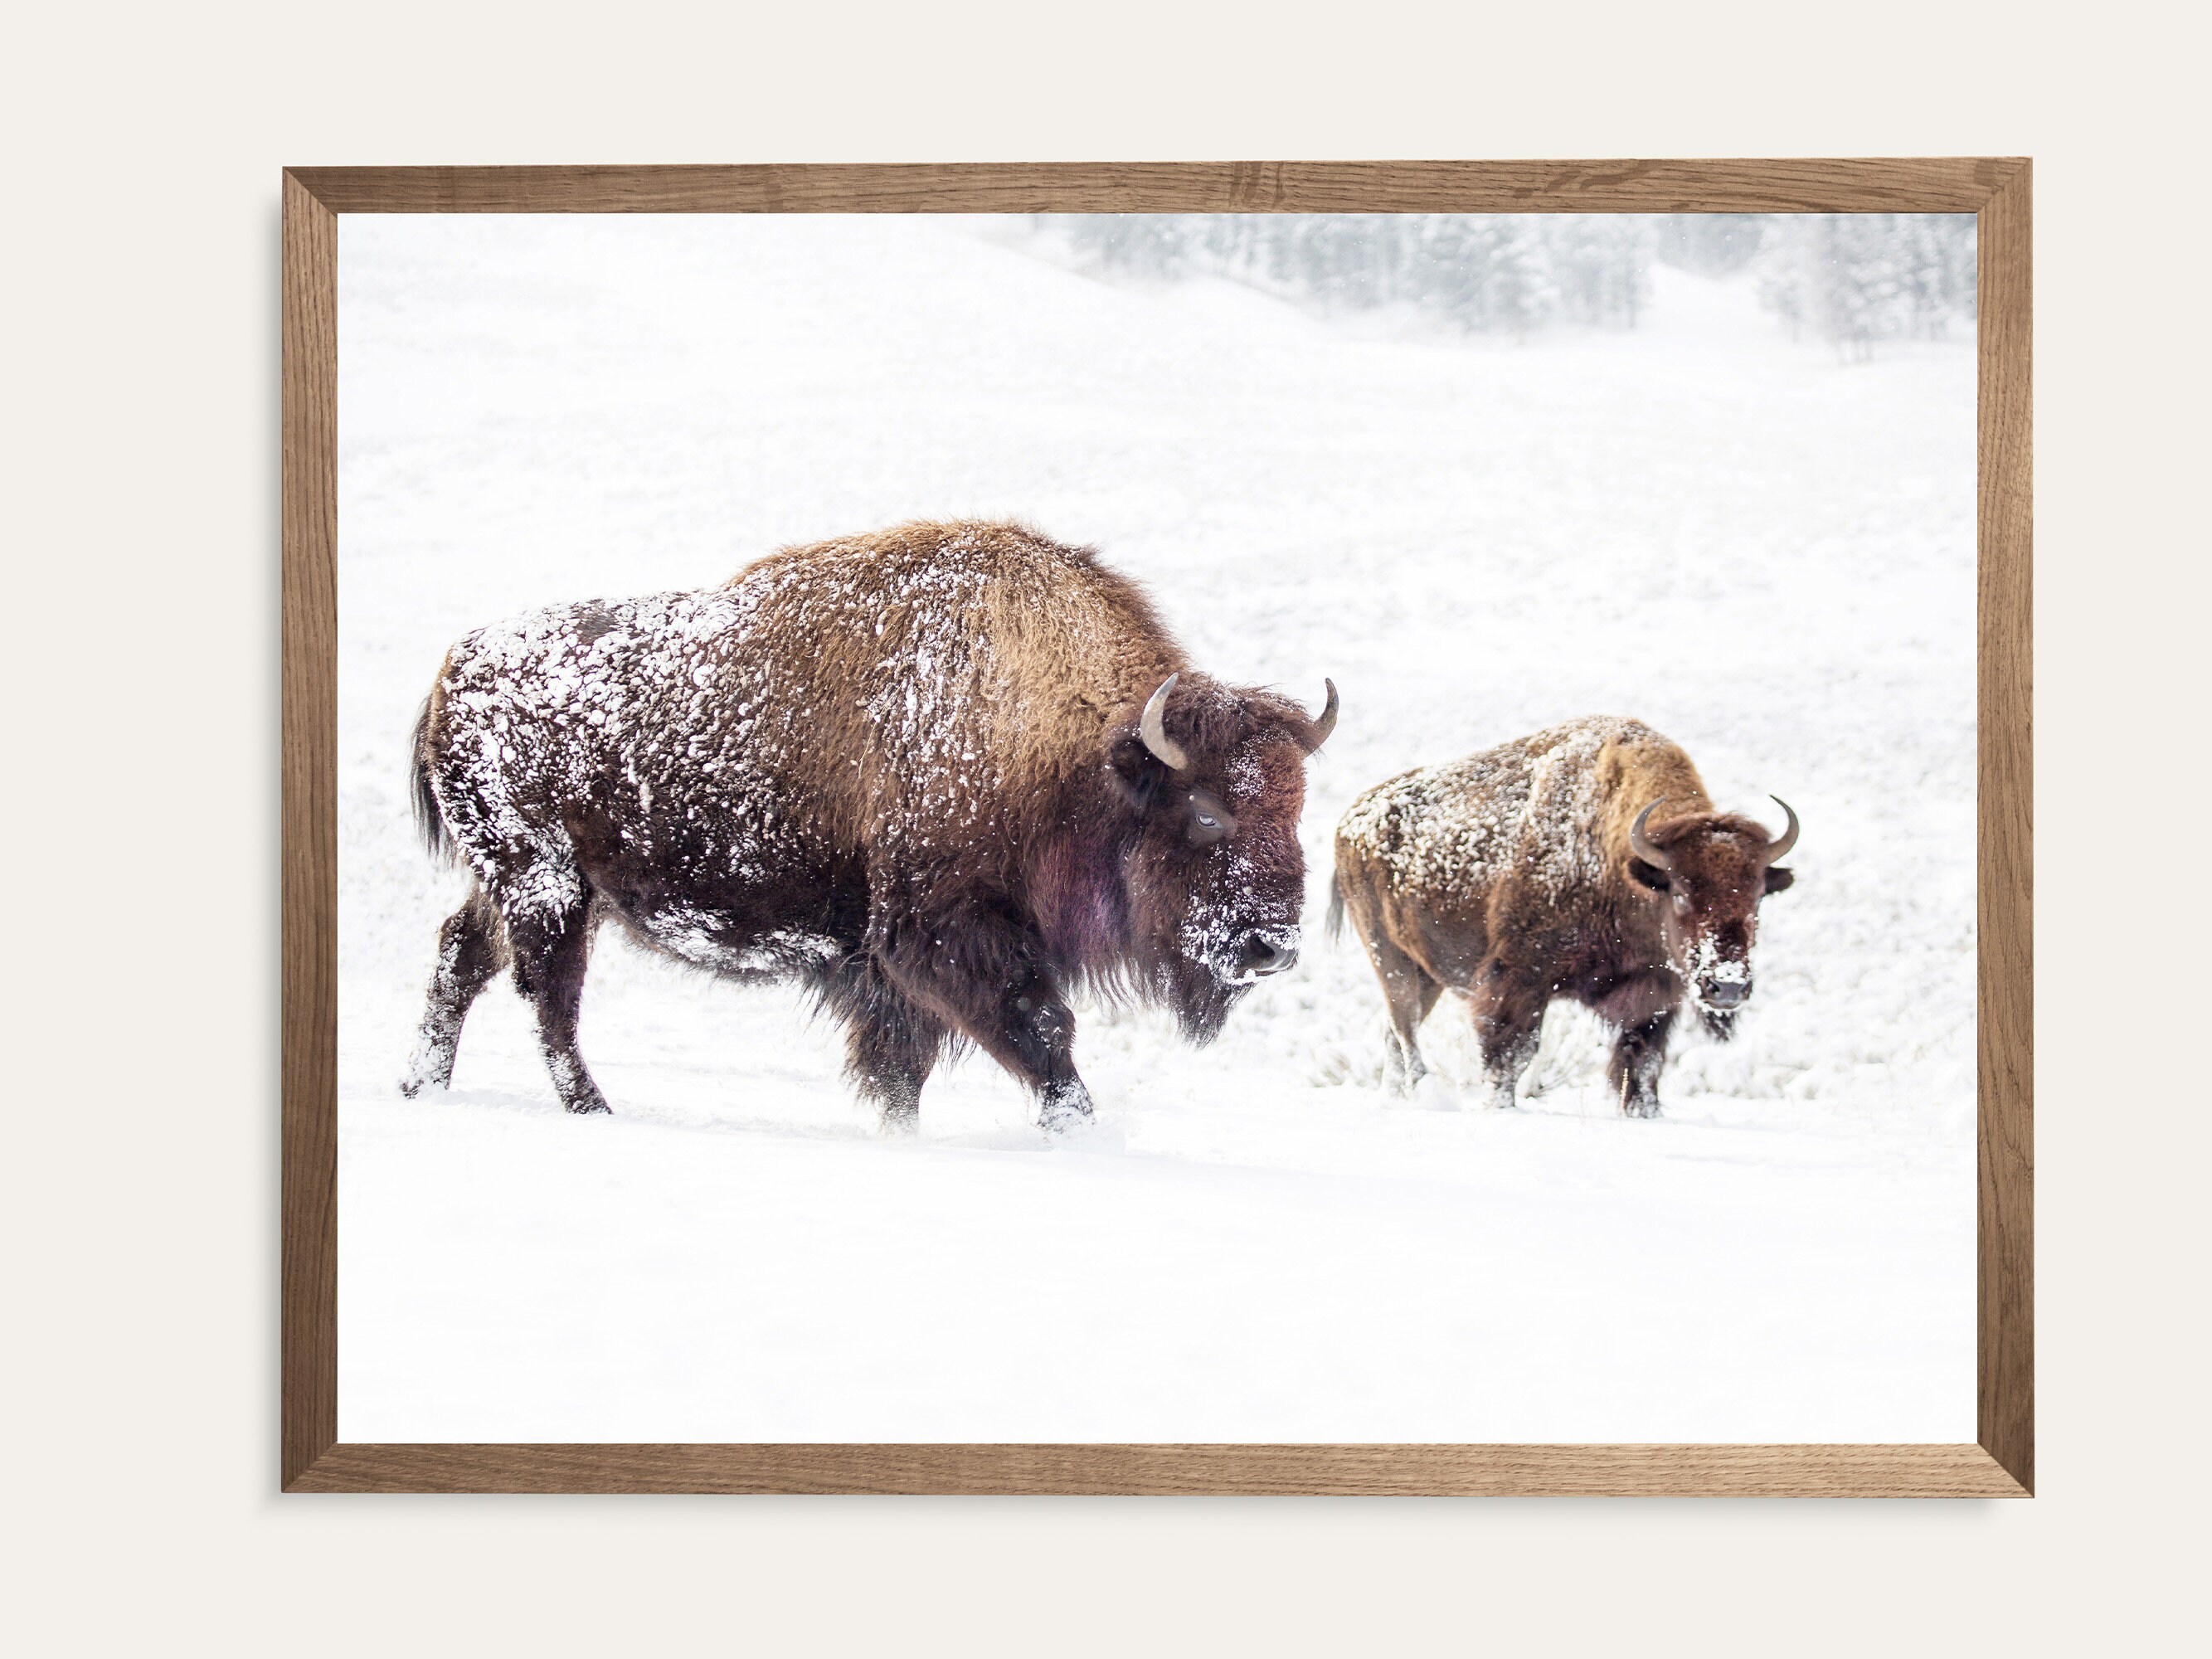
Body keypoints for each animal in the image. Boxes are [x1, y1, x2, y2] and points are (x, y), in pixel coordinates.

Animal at [403, 519, 1337, 1129]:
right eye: (1207, 811)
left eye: (1297, 807)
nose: (1270, 946)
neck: (1064, 743)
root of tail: (456, 662)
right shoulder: (943, 939)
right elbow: (1042, 1035)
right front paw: (1073, 1130)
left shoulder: (896, 973)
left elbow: (904, 1073)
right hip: (546, 885)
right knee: (548, 997)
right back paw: (593, 1110)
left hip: (543, 888)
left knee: (463, 958)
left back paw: (423, 1090)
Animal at [1330, 716, 1797, 1117]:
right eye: (1680, 893)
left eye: (1758, 896)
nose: (1728, 986)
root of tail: (1350, 820)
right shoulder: (1519, 979)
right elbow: (1511, 1056)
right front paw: (1500, 1107)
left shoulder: (1655, 999)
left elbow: (1642, 1067)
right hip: (1390, 960)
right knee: (1405, 1031)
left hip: (1428, 976)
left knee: (1394, 1036)